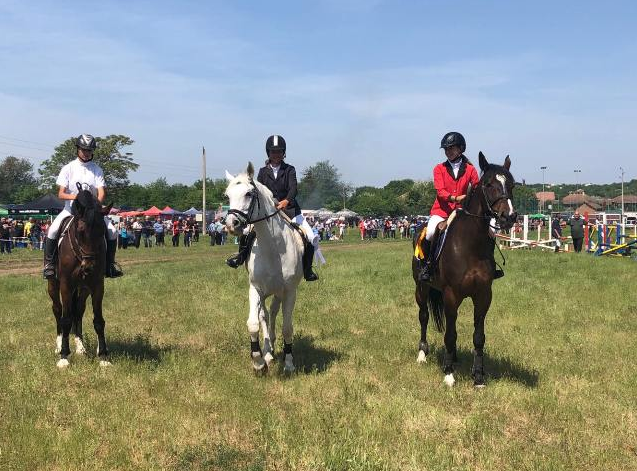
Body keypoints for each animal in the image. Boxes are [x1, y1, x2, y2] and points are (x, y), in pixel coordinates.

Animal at [47, 184, 112, 368]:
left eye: (102, 232)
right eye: (81, 231)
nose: (89, 266)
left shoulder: (97, 285)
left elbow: (98, 321)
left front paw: (103, 357)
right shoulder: (66, 285)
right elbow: (66, 319)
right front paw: (63, 356)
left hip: (83, 289)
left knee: (78, 311)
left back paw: (81, 348)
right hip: (53, 285)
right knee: (57, 310)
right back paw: (59, 345)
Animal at [224, 164, 304, 374]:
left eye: (248, 194)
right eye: (227, 196)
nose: (231, 225)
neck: (273, 248)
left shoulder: (289, 291)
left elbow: (287, 327)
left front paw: (289, 363)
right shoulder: (255, 289)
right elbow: (253, 324)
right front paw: (258, 361)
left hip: (278, 292)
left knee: (273, 313)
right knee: (264, 316)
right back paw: (267, 351)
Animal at [412, 153, 516, 390]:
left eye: (511, 184)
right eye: (488, 184)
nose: (508, 217)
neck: (471, 245)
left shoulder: (483, 296)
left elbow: (478, 336)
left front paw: (478, 377)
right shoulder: (451, 295)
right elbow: (450, 335)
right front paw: (449, 375)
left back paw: (454, 358)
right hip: (421, 288)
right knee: (424, 317)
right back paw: (423, 354)